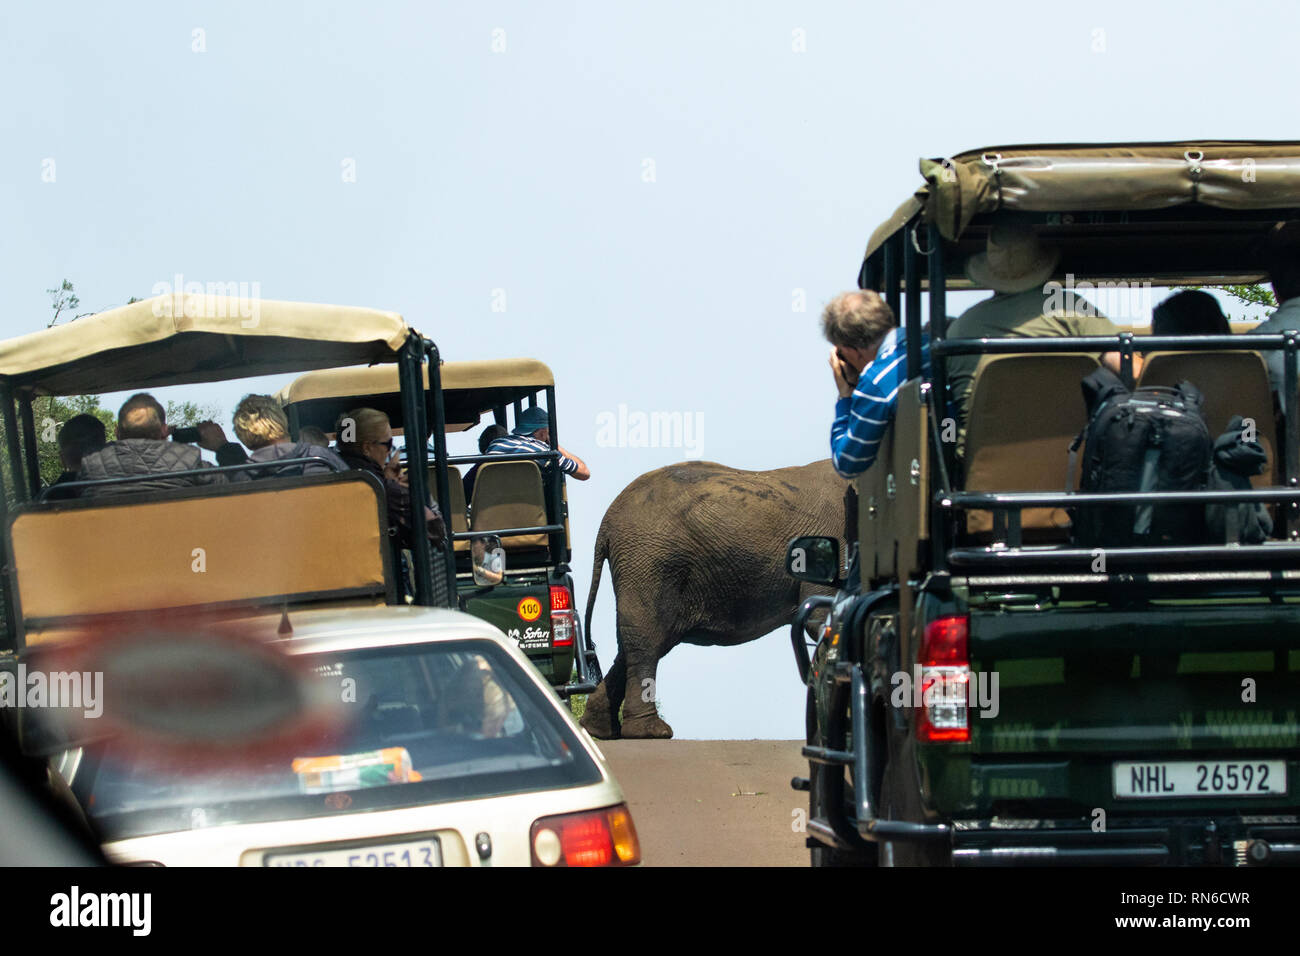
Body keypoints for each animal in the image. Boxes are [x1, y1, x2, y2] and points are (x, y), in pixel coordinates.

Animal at [579, 458, 848, 740]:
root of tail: (606, 526)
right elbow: (822, 620)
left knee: (640, 641)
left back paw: (598, 728)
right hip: (650, 561)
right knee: (647, 640)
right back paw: (651, 732)